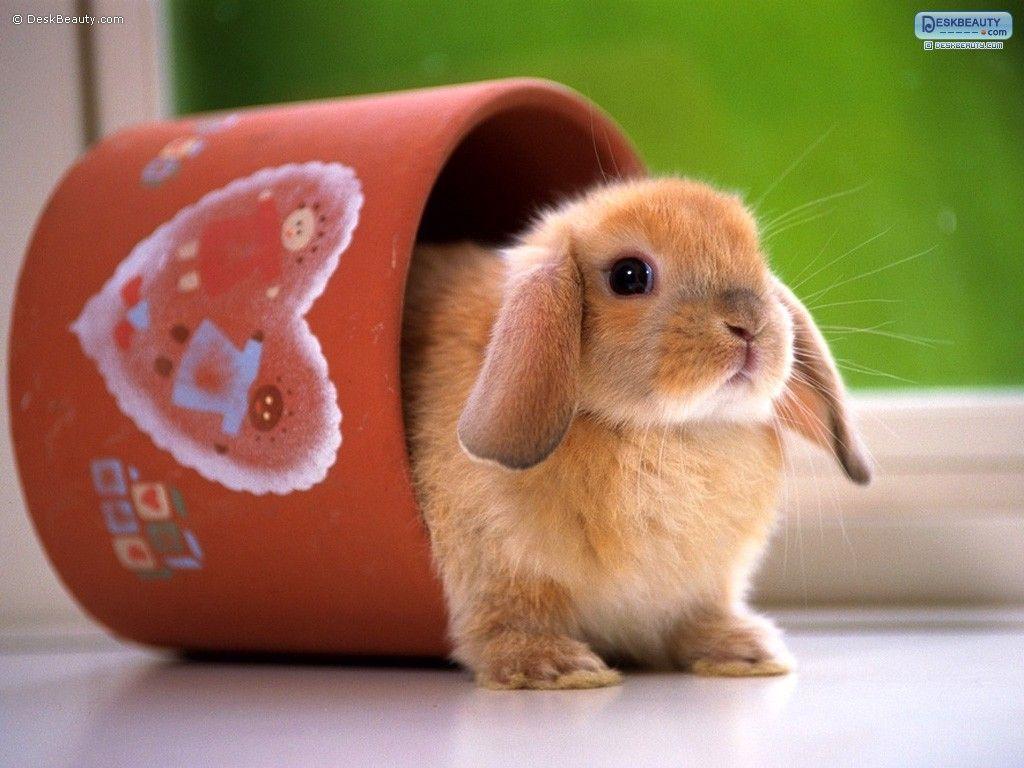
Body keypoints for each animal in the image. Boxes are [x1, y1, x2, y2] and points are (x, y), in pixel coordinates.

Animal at [401, 176, 871, 690]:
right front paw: (560, 668)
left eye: (758, 260)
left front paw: (748, 653)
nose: (749, 326)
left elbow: (695, 620)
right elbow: (505, 622)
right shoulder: (500, 571)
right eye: (629, 277)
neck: (661, 431)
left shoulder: (701, 589)